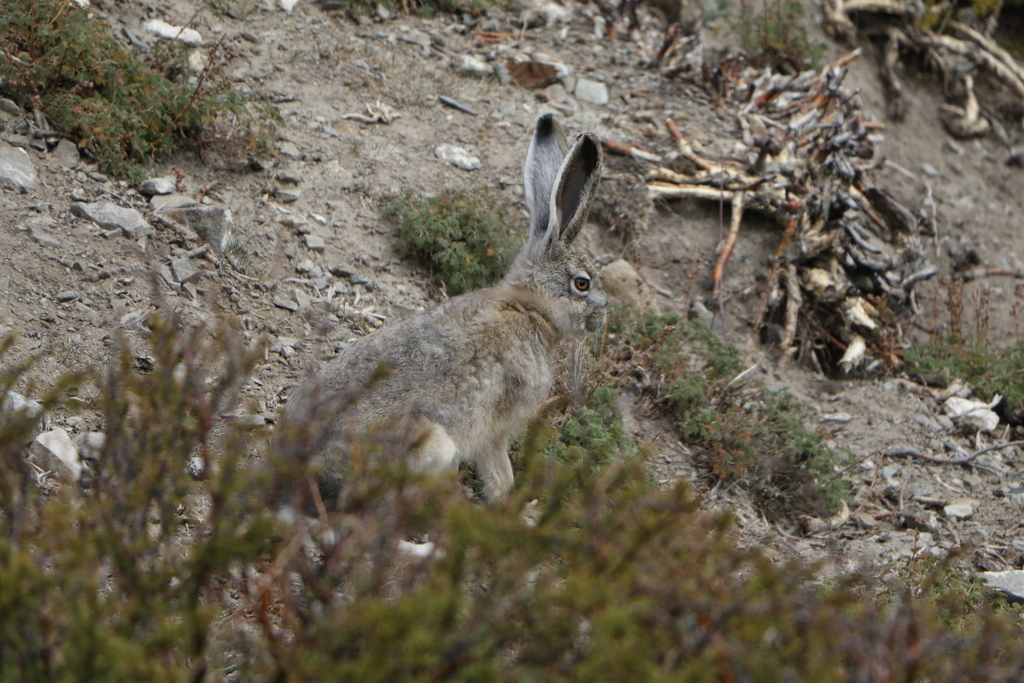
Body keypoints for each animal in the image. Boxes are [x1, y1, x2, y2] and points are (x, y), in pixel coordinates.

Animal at [275, 113, 607, 509]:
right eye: (582, 284)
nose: (602, 316)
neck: (528, 308)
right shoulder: (497, 427)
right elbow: (500, 473)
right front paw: (512, 507)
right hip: (431, 447)